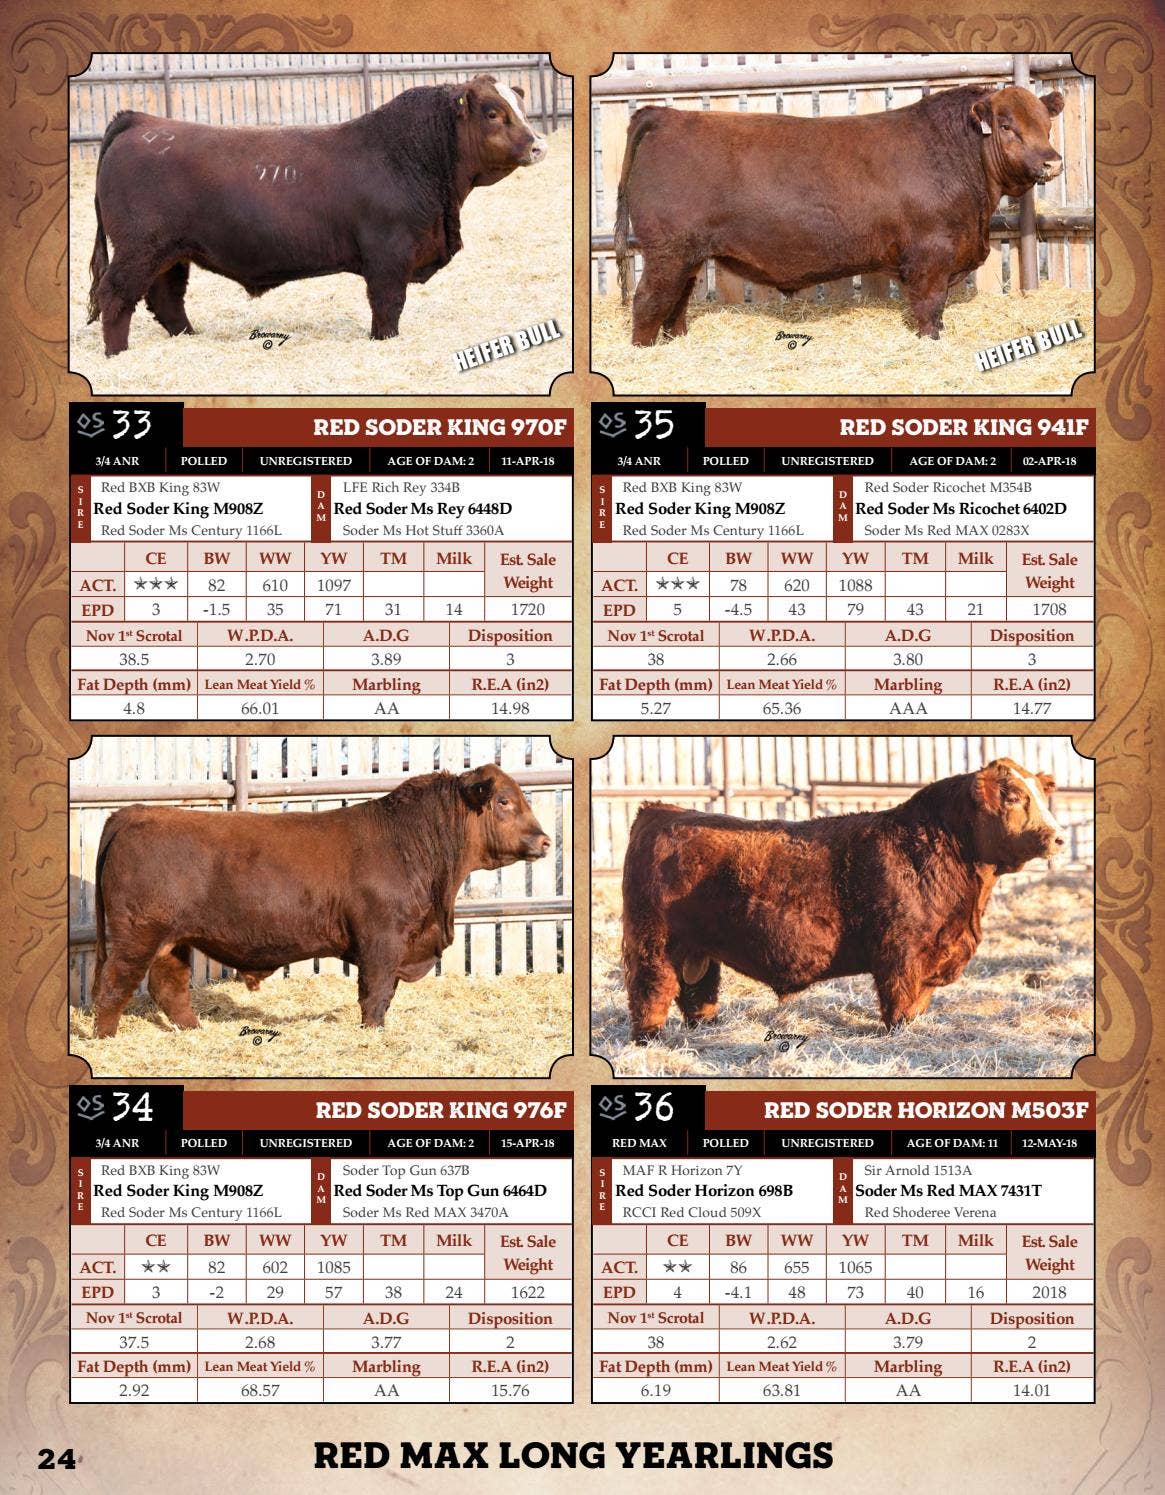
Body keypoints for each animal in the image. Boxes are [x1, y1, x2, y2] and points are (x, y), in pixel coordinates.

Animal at [86, 75, 547, 354]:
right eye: (493, 112)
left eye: (520, 108)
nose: (538, 145)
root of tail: (139, 120)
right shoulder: (388, 254)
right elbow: (388, 304)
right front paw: (384, 341)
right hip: (139, 247)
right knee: (116, 294)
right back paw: (117, 353)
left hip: (171, 251)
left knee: (166, 299)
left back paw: (189, 338)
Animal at [88, 763, 551, 1037]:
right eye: (504, 801)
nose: (545, 841)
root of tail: (132, 813)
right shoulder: (381, 939)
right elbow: (376, 993)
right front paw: (372, 1036)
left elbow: (383, 993)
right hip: (137, 935)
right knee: (113, 985)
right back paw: (106, 1038)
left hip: (174, 938)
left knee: (168, 986)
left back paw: (195, 1030)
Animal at [613, 84, 1065, 344]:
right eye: (1005, 125)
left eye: (1046, 123)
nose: (1052, 162)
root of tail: (667, 114)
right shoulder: (932, 255)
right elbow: (929, 306)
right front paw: (931, 340)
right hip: (667, 252)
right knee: (648, 302)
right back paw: (643, 351)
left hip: (686, 256)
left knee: (676, 302)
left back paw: (675, 342)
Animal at [620, 758, 1066, 1043]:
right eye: (1012, 796)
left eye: (1040, 794)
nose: (1059, 837)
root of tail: (659, 810)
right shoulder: (901, 953)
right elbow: (901, 1004)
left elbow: (919, 1004)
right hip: (654, 944)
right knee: (651, 992)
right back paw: (650, 1039)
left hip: (700, 953)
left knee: (697, 995)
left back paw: (709, 1030)